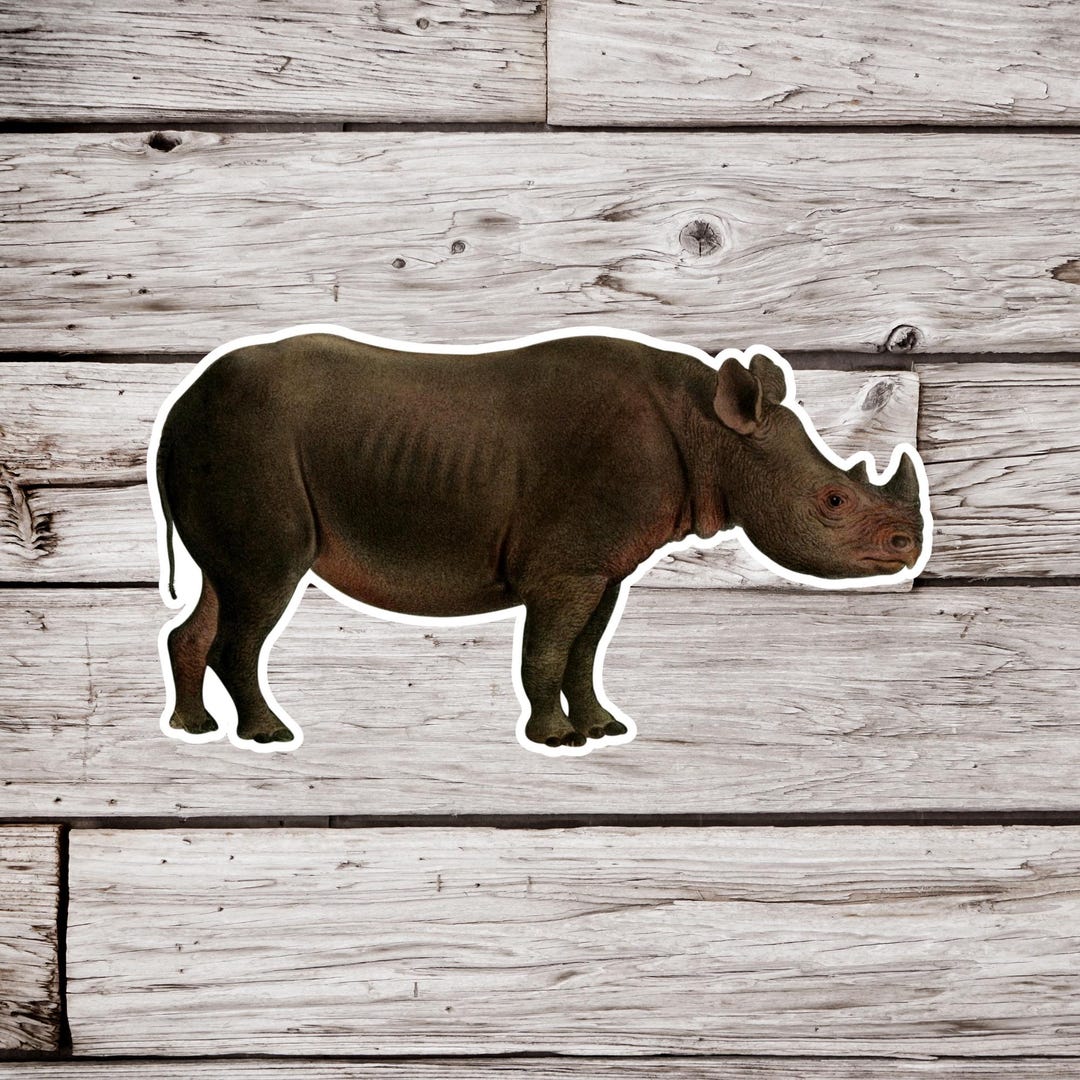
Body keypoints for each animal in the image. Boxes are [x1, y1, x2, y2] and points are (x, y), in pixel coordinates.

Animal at [151, 327, 928, 753]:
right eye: (832, 501)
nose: (907, 546)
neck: (714, 431)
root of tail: (177, 408)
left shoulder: (604, 567)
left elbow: (583, 655)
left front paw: (602, 728)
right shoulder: (567, 567)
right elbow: (549, 653)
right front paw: (555, 741)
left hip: (223, 443)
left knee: (225, 587)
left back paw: (192, 729)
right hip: (246, 441)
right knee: (263, 587)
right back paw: (269, 737)